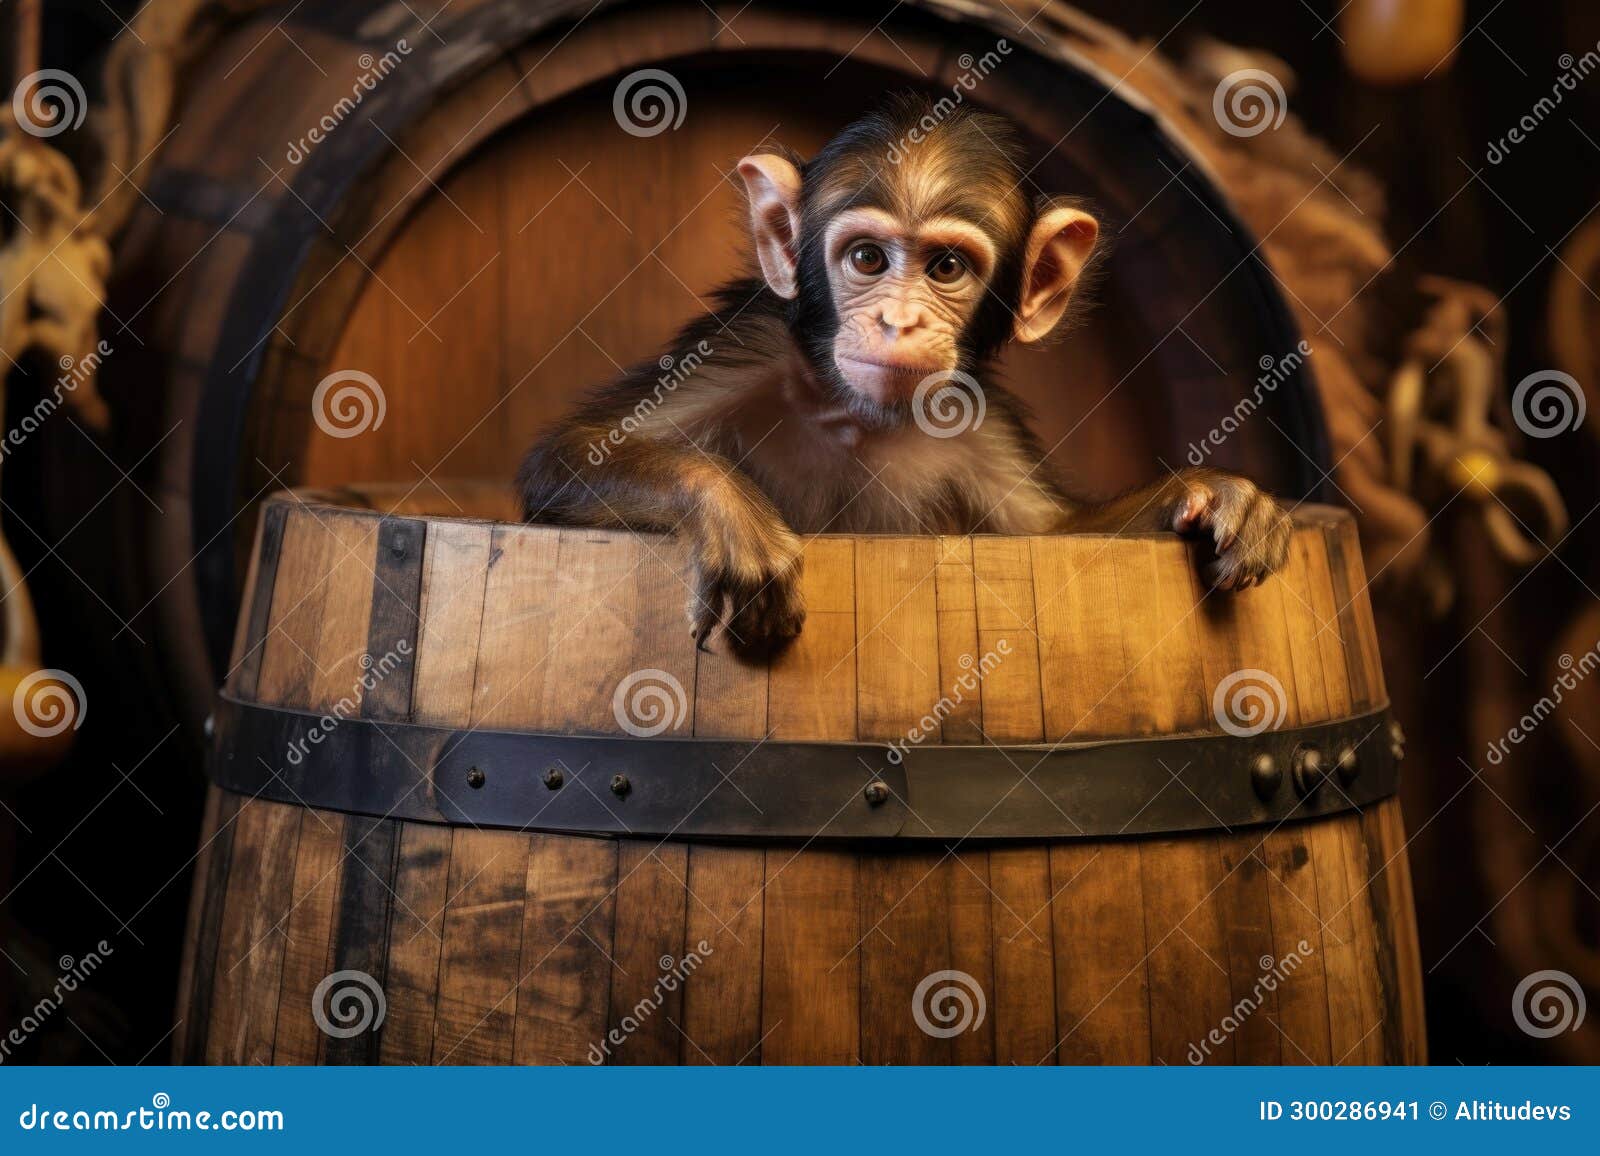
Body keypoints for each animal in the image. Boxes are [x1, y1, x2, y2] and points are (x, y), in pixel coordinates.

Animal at [518, 94, 1294, 656]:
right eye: (867, 258)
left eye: (946, 268)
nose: (900, 320)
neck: (855, 415)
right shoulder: (744, 346)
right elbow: (577, 451)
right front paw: (729, 515)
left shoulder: (985, 425)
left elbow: (1051, 531)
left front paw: (1214, 493)